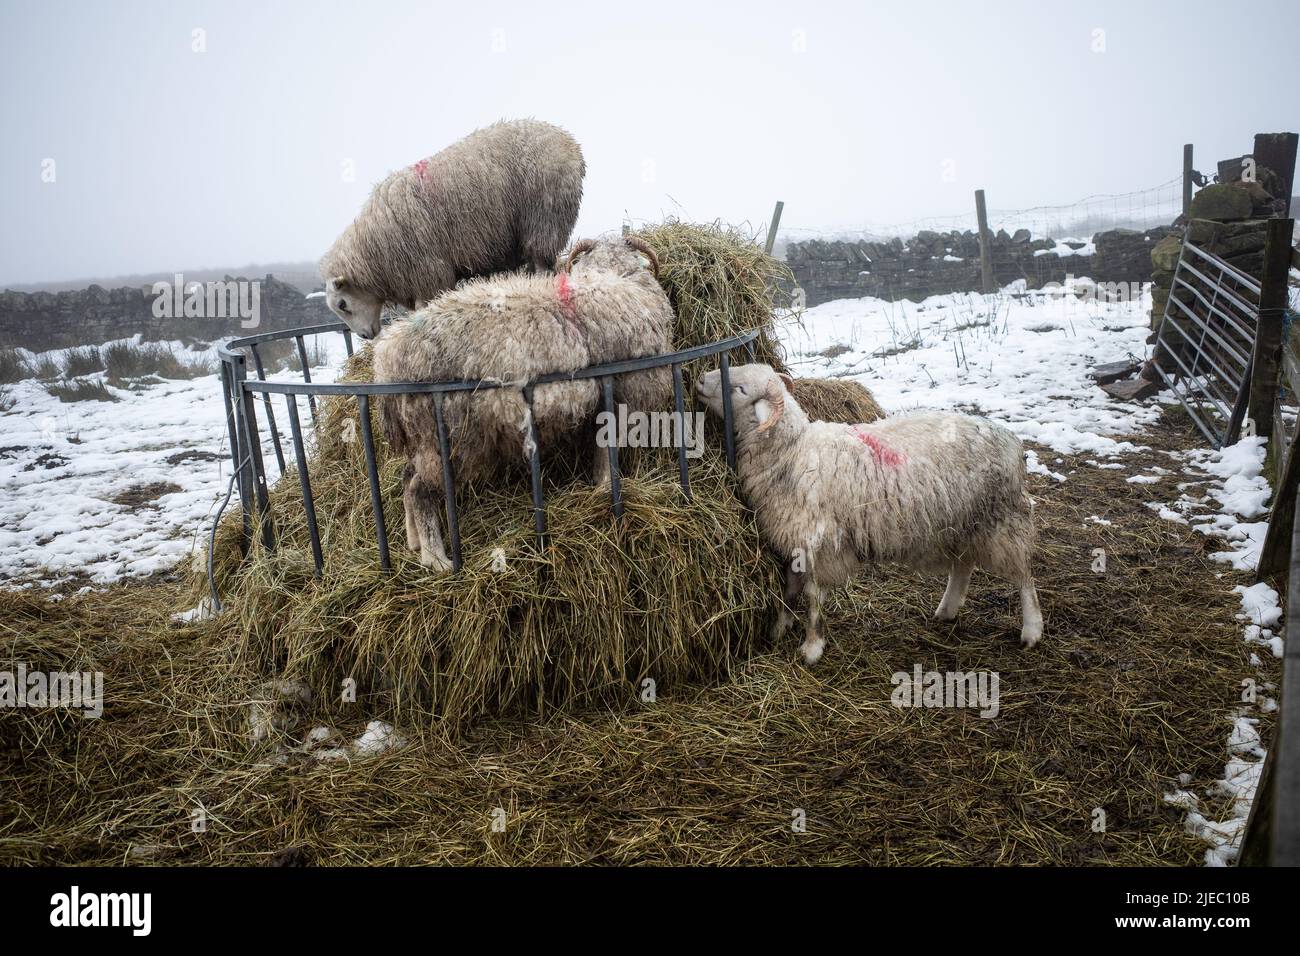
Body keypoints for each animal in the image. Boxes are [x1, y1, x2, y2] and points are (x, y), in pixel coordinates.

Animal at [321, 119, 586, 339]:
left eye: (343, 304)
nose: (365, 336)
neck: (373, 253)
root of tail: (569, 141)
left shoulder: (428, 271)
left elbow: (427, 305)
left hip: (544, 218)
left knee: (542, 264)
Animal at [373, 236, 674, 570]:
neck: (615, 277)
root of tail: (388, 360)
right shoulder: (621, 396)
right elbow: (607, 454)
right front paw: (607, 489)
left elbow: (600, 452)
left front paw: (599, 487)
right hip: (450, 438)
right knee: (419, 491)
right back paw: (436, 559)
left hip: (423, 439)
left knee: (407, 477)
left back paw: (413, 542)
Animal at [695, 363, 1042, 664]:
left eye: (740, 389)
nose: (698, 380)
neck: (792, 450)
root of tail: (1012, 441)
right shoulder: (795, 539)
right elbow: (789, 590)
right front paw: (779, 628)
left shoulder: (821, 543)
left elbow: (812, 597)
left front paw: (812, 646)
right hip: (963, 521)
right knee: (964, 564)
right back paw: (947, 609)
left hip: (1001, 517)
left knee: (1024, 574)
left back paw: (1031, 630)